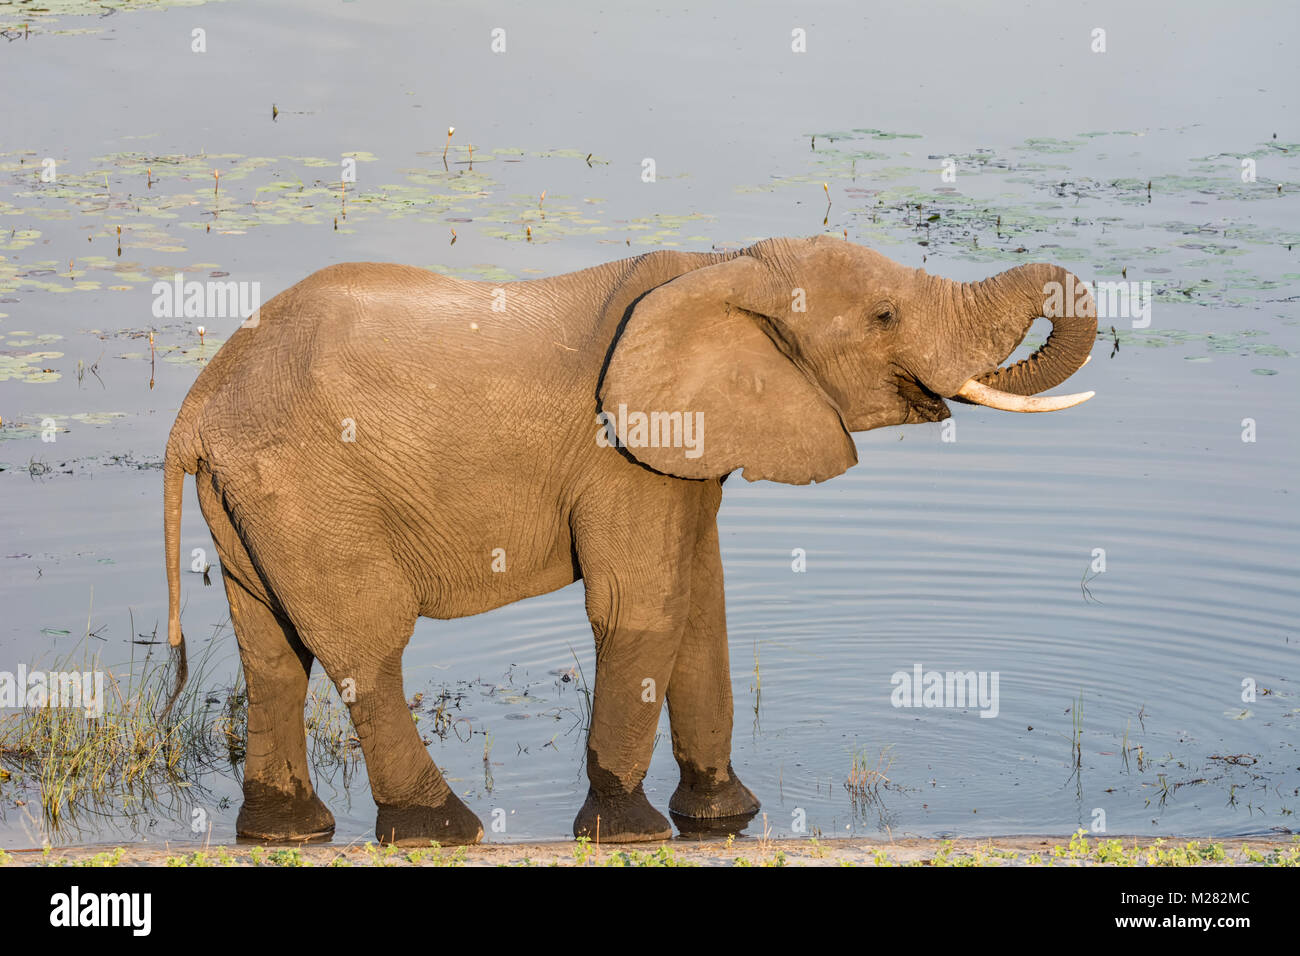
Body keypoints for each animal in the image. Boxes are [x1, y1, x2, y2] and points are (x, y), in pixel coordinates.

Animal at [161, 235, 1096, 845]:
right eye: (885, 313)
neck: (722, 265)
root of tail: (196, 404)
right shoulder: (622, 452)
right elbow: (643, 607)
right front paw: (632, 830)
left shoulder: (684, 452)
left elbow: (703, 609)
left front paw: (725, 816)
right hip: (306, 488)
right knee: (365, 641)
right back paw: (440, 827)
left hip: (253, 502)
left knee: (274, 650)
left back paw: (288, 831)